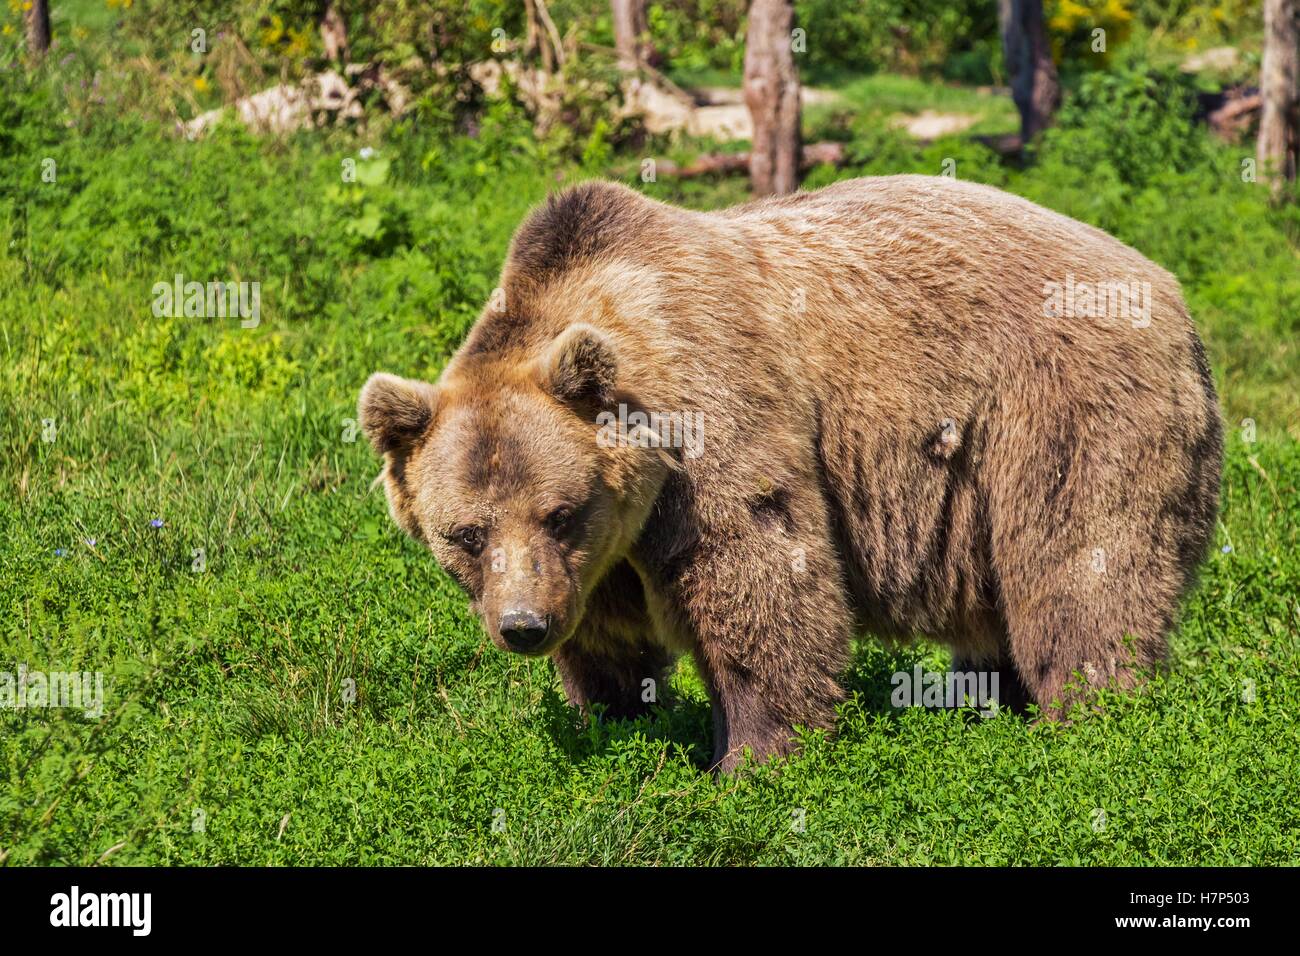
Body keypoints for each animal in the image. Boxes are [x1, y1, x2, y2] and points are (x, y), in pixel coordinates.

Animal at [359, 175, 1222, 773]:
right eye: (466, 534)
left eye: (559, 511)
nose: (523, 627)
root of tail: (1170, 289)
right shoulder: (600, 555)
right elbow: (608, 638)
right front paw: (615, 719)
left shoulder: (710, 425)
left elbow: (760, 575)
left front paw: (751, 757)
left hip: (1062, 412)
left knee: (1081, 568)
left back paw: (1092, 717)